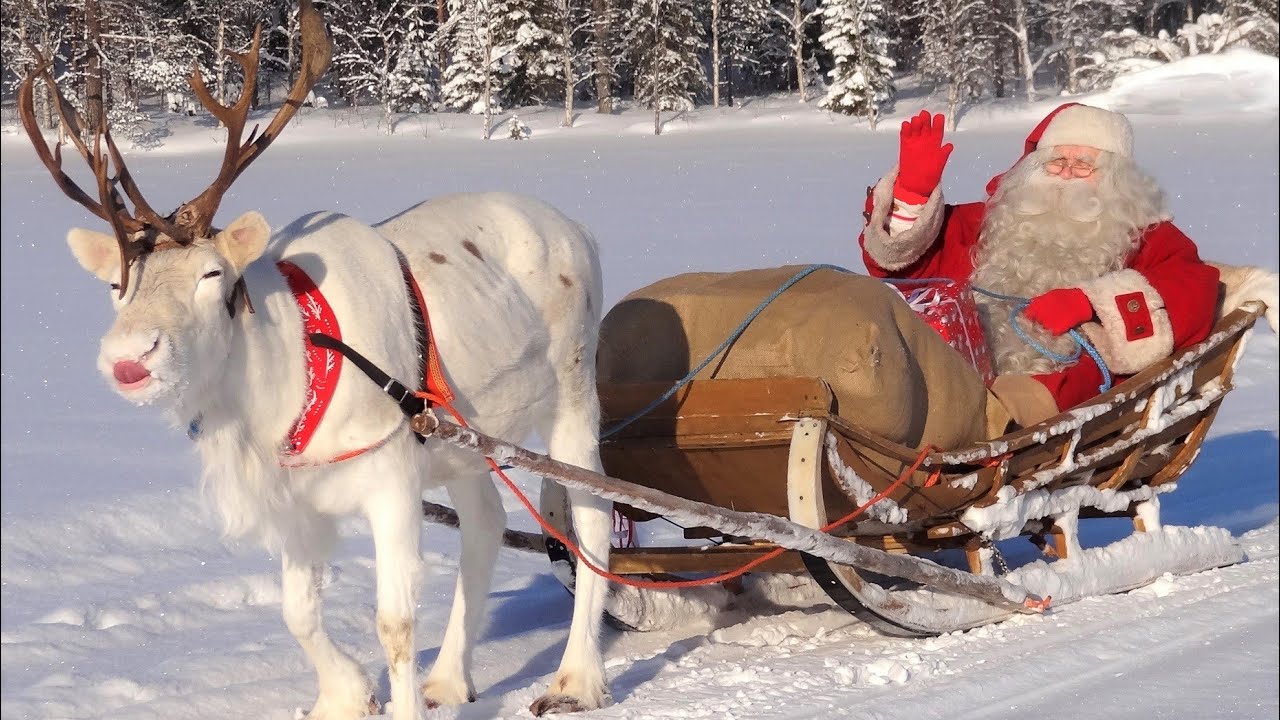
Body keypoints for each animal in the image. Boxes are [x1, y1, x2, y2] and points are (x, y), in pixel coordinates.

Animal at [17, 2, 613, 718]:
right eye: (117, 283)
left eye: (212, 274)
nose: (129, 360)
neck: (271, 395)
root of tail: (582, 232)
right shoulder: (296, 502)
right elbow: (297, 612)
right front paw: (347, 693)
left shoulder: (390, 480)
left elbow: (394, 622)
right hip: (461, 438)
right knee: (486, 524)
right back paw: (450, 679)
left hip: (573, 395)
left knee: (591, 521)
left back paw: (577, 676)